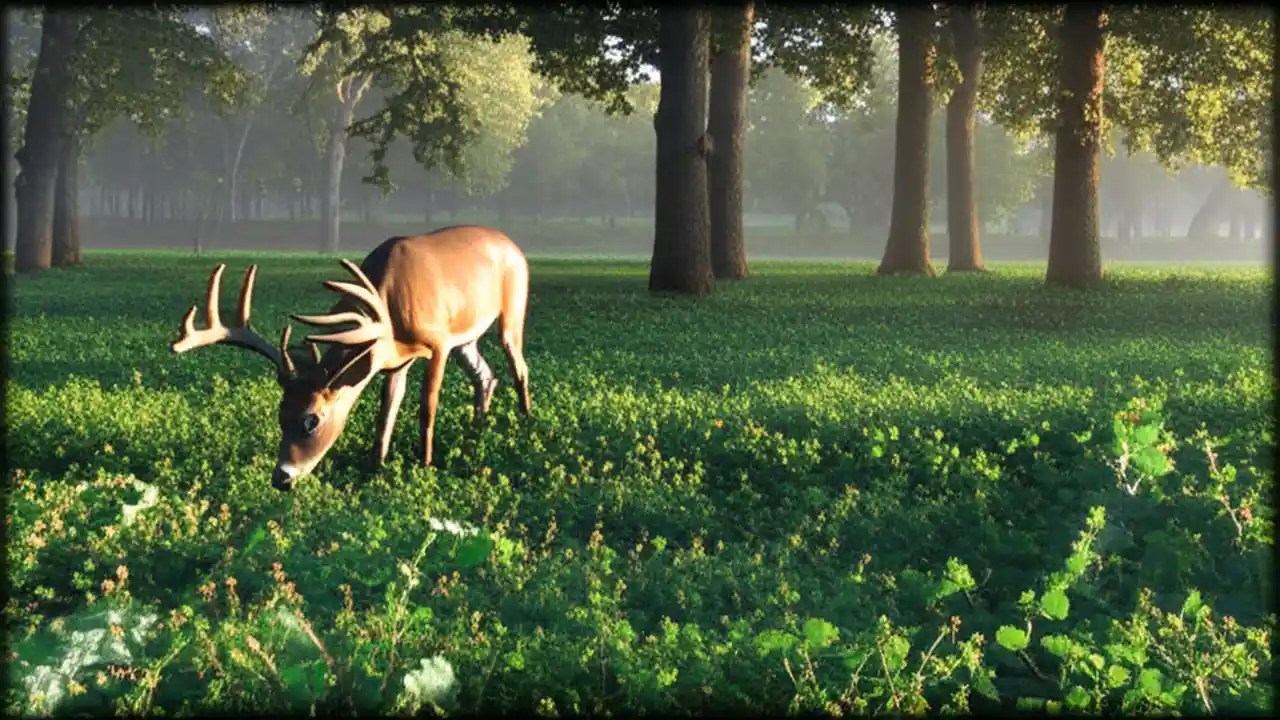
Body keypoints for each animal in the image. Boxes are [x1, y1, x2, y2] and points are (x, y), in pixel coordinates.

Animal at [171, 226, 532, 492]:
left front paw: (425, 464)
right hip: (466, 340)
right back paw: (476, 432)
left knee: (519, 365)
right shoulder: (397, 360)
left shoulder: (438, 342)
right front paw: (376, 467)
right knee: (486, 376)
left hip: (512, 307)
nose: (281, 478)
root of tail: (513, 244)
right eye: (280, 415)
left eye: (311, 420)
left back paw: (525, 424)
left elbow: (426, 408)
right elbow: (386, 413)